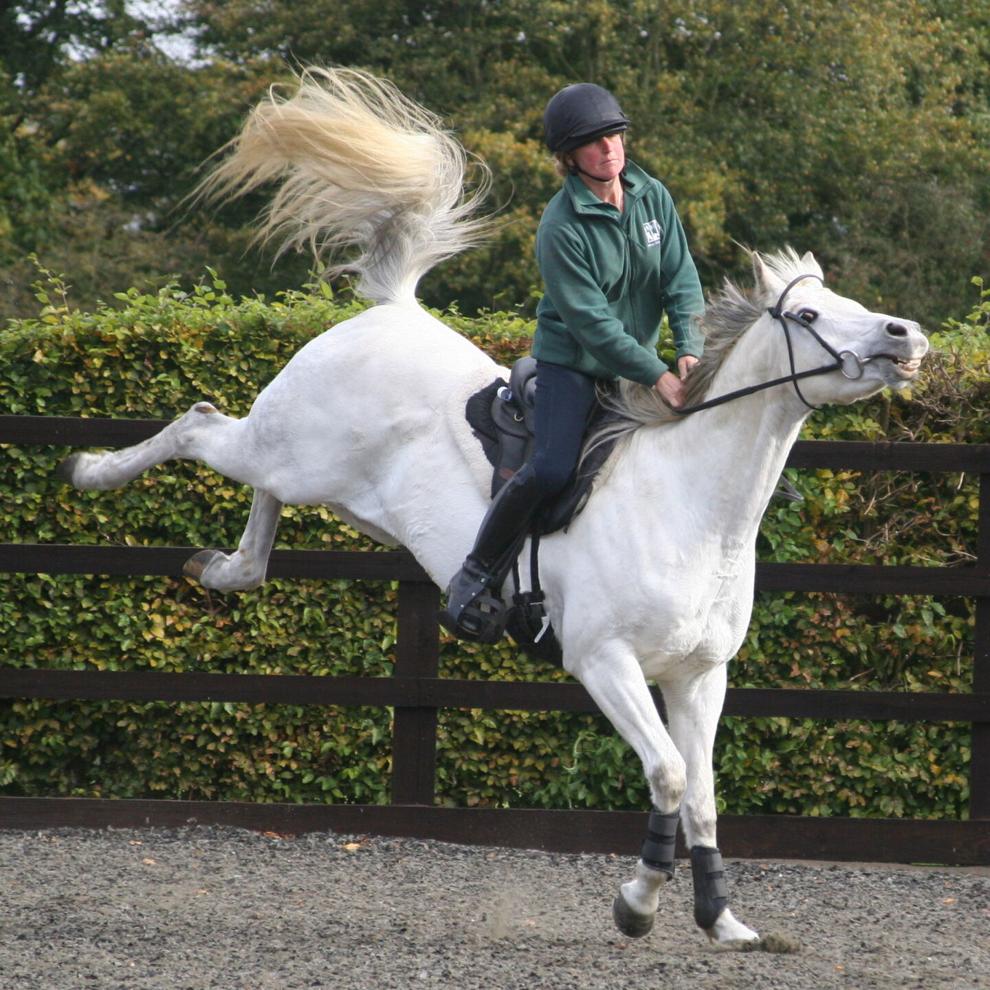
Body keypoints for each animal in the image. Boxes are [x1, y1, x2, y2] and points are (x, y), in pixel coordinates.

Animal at [57, 67, 929, 947]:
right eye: (811, 315)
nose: (907, 334)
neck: (691, 510)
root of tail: (392, 311)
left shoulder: (698, 676)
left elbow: (706, 798)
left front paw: (721, 920)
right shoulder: (604, 663)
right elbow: (671, 776)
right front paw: (638, 904)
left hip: (322, 479)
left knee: (255, 501)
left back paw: (225, 568)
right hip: (287, 450)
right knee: (199, 424)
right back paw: (91, 471)